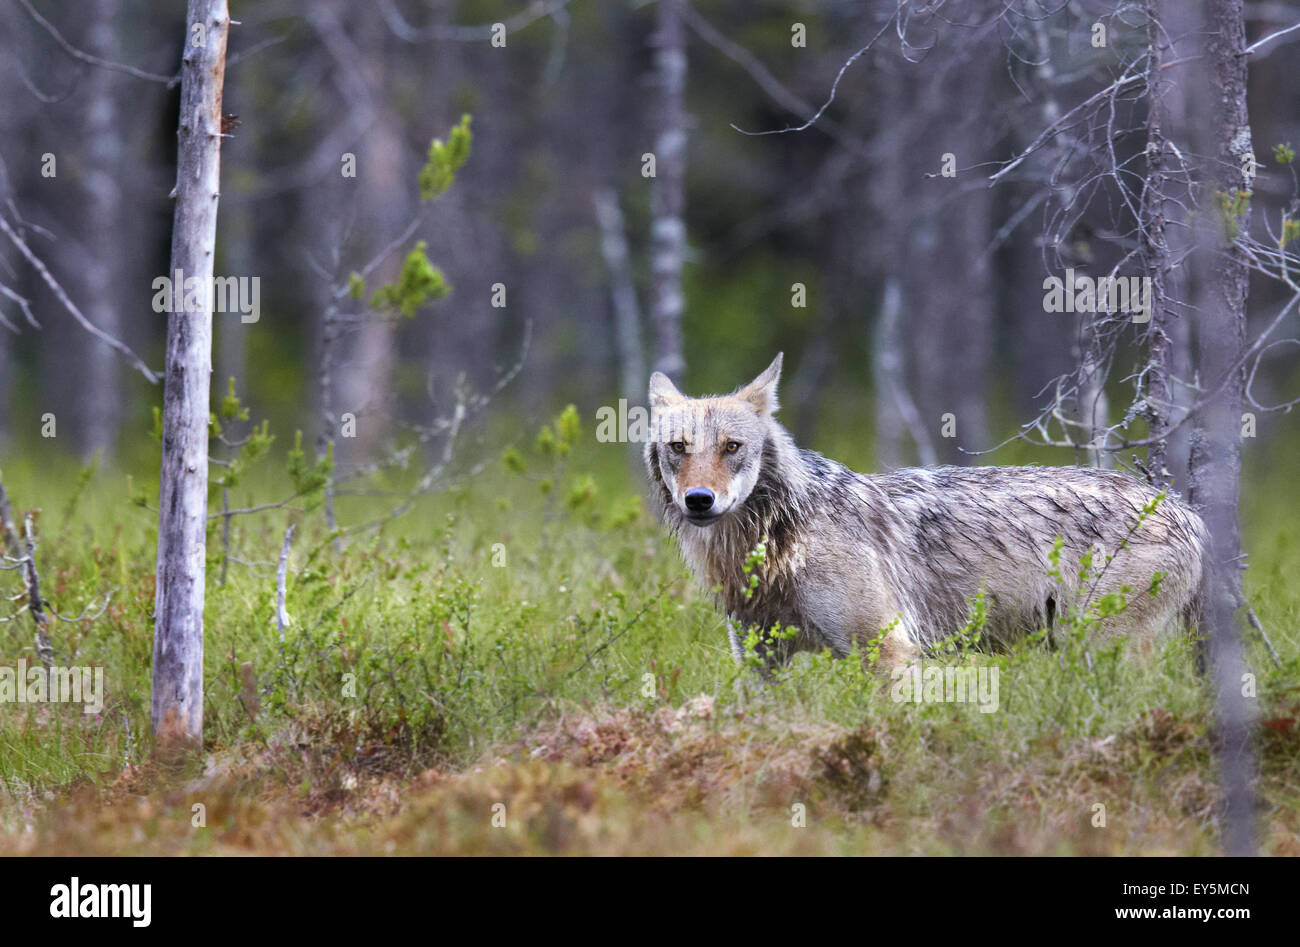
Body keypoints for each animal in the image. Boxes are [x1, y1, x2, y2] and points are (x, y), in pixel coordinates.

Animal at [644, 354, 1209, 670]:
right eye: (678, 448)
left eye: (732, 447)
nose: (699, 500)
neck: (776, 537)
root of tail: (1187, 511)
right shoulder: (759, 663)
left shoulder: (888, 650)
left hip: (1099, 648)